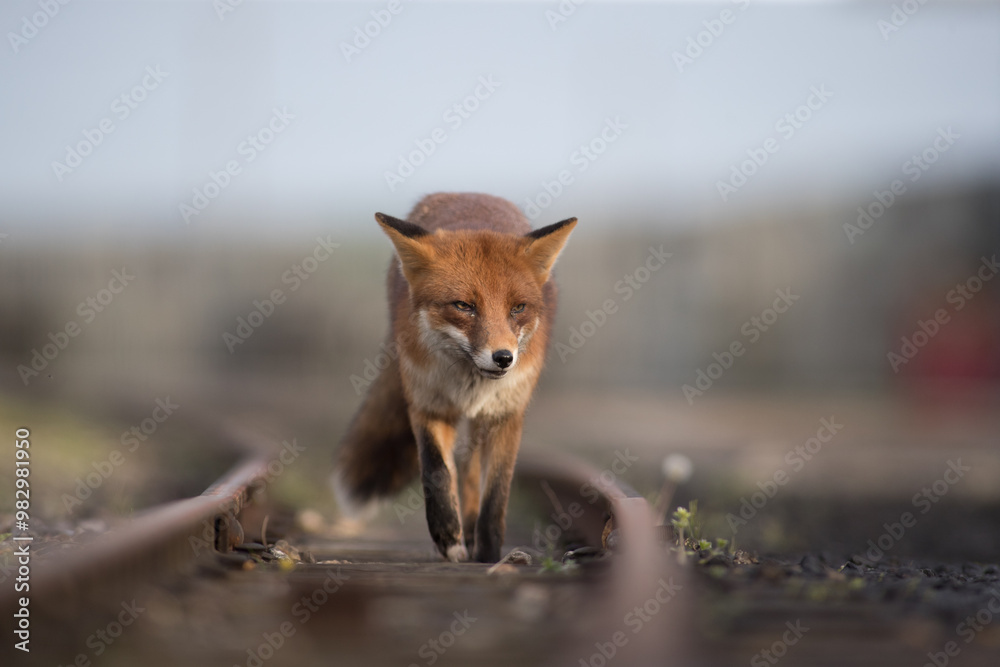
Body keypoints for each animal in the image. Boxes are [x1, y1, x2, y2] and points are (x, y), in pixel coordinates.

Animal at [332, 192, 576, 563]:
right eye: (464, 306)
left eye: (518, 308)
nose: (504, 358)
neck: (468, 384)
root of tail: (470, 193)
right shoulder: (427, 405)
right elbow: (436, 472)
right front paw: (447, 536)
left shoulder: (506, 415)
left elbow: (496, 496)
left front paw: (488, 554)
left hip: (481, 425)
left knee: (470, 470)